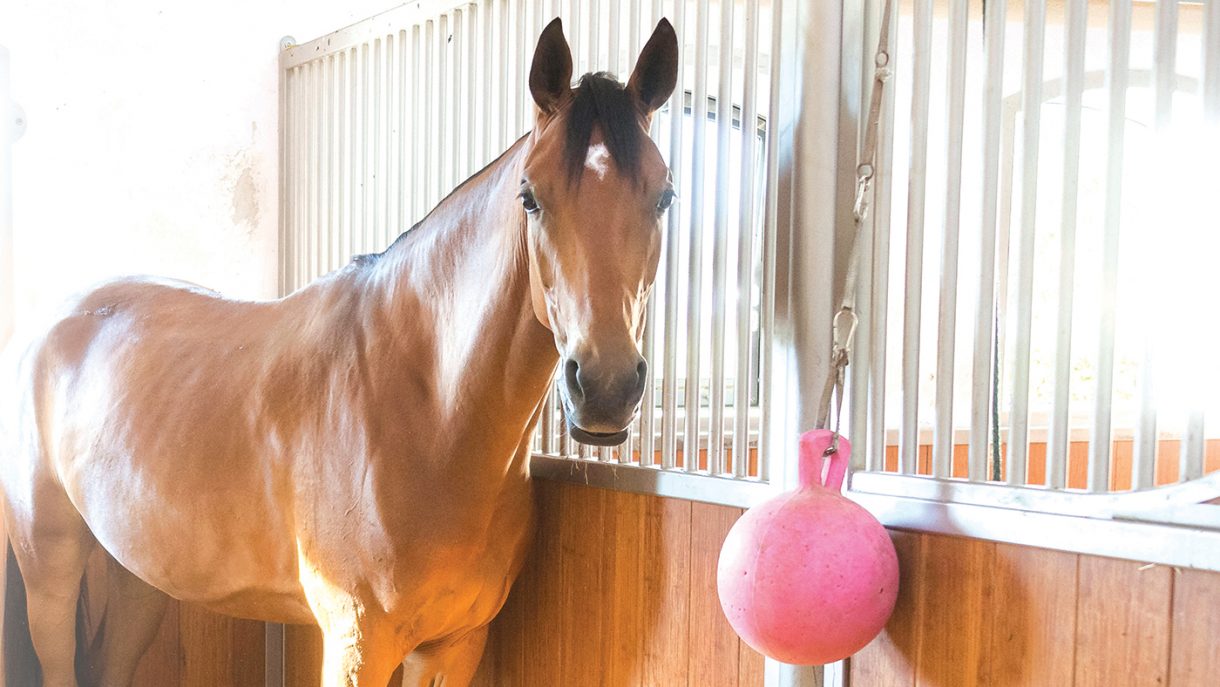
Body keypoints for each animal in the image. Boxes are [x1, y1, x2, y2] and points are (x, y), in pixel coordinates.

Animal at [0, 18, 678, 687]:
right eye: (531, 196)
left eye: (665, 195)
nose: (607, 387)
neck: (429, 414)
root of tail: (46, 327)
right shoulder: (358, 645)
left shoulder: (456, 645)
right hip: (49, 578)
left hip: (139, 576)